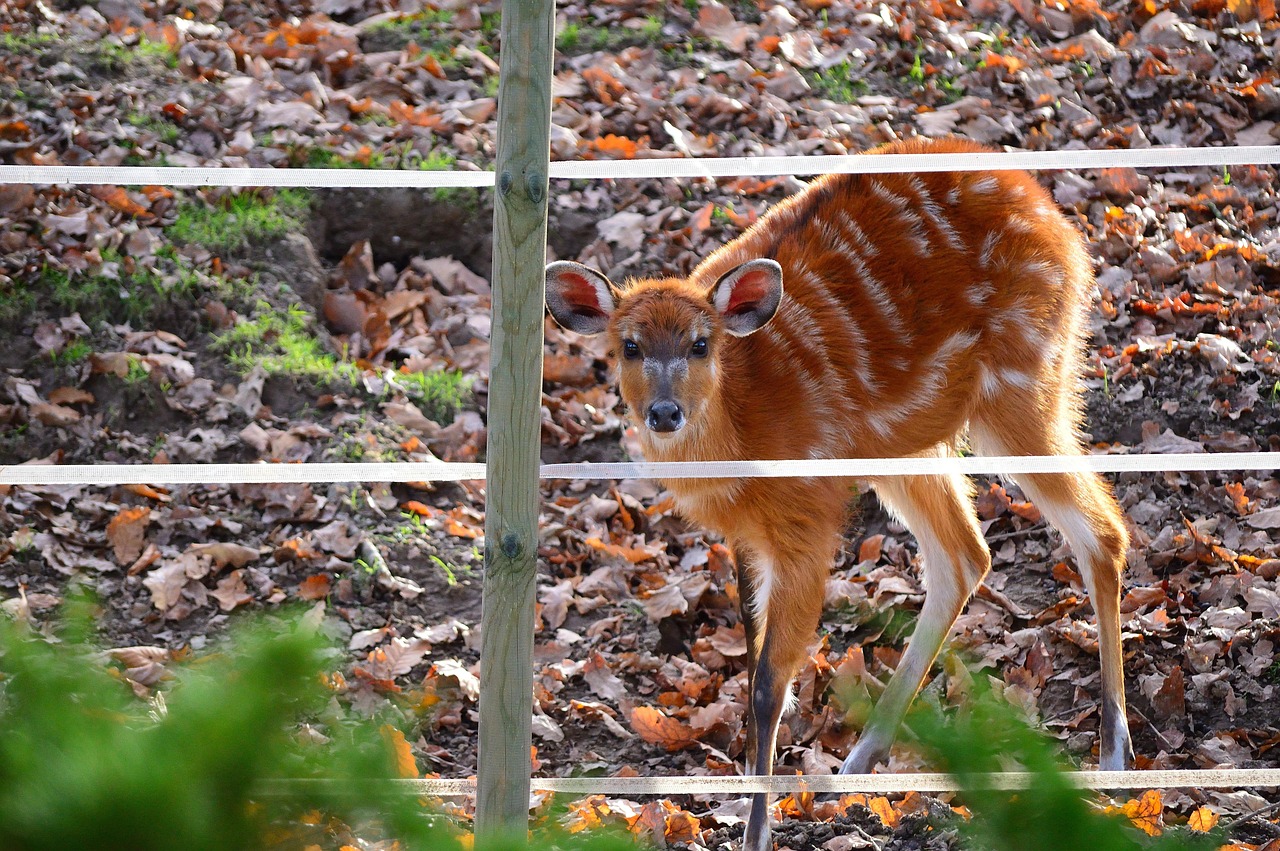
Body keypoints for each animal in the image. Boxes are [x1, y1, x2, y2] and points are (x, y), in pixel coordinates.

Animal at [545, 136, 1132, 851]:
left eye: (701, 343)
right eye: (628, 345)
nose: (663, 413)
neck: (743, 433)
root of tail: (1058, 220)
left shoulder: (809, 513)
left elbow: (769, 685)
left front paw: (757, 834)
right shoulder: (748, 536)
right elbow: (752, 669)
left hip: (1024, 381)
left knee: (1101, 531)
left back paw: (1114, 755)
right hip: (910, 441)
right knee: (966, 555)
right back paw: (858, 761)